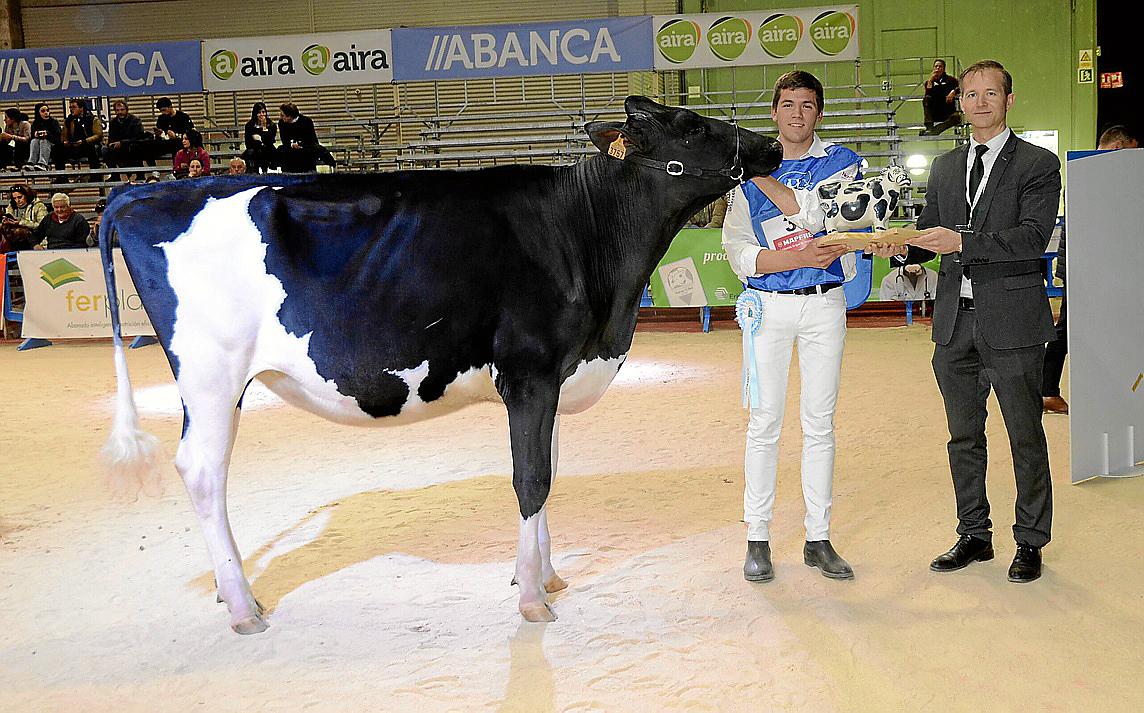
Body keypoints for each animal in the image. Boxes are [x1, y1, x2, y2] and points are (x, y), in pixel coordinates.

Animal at [99, 96, 783, 634]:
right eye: (690, 125)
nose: (773, 143)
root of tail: (145, 189)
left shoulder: (553, 380)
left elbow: (548, 470)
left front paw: (545, 575)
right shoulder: (529, 373)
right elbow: (532, 479)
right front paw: (532, 599)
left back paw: (228, 589)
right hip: (212, 375)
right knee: (202, 471)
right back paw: (244, 607)